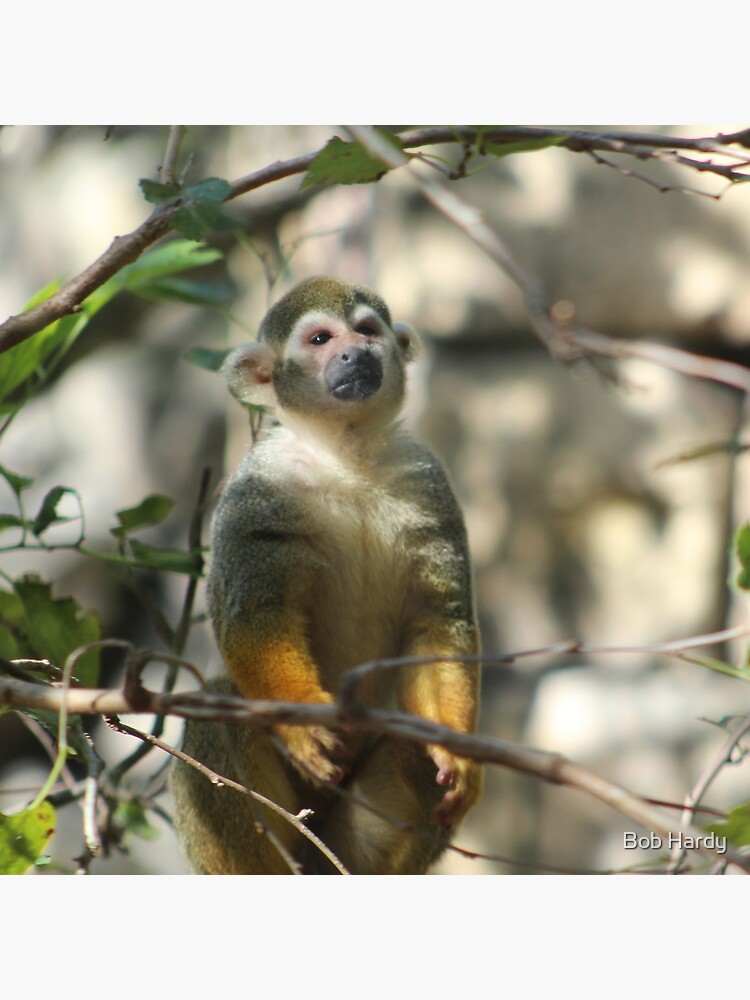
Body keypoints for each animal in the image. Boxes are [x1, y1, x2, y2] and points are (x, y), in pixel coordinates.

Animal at [170, 276, 482, 874]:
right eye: (320, 339)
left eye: (365, 330)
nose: (356, 353)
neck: (346, 452)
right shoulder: (259, 487)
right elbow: (255, 615)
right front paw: (303, 722)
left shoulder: (427, 481)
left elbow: (437, 619)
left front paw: (457, 752)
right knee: (219, 707)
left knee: (409, 750)